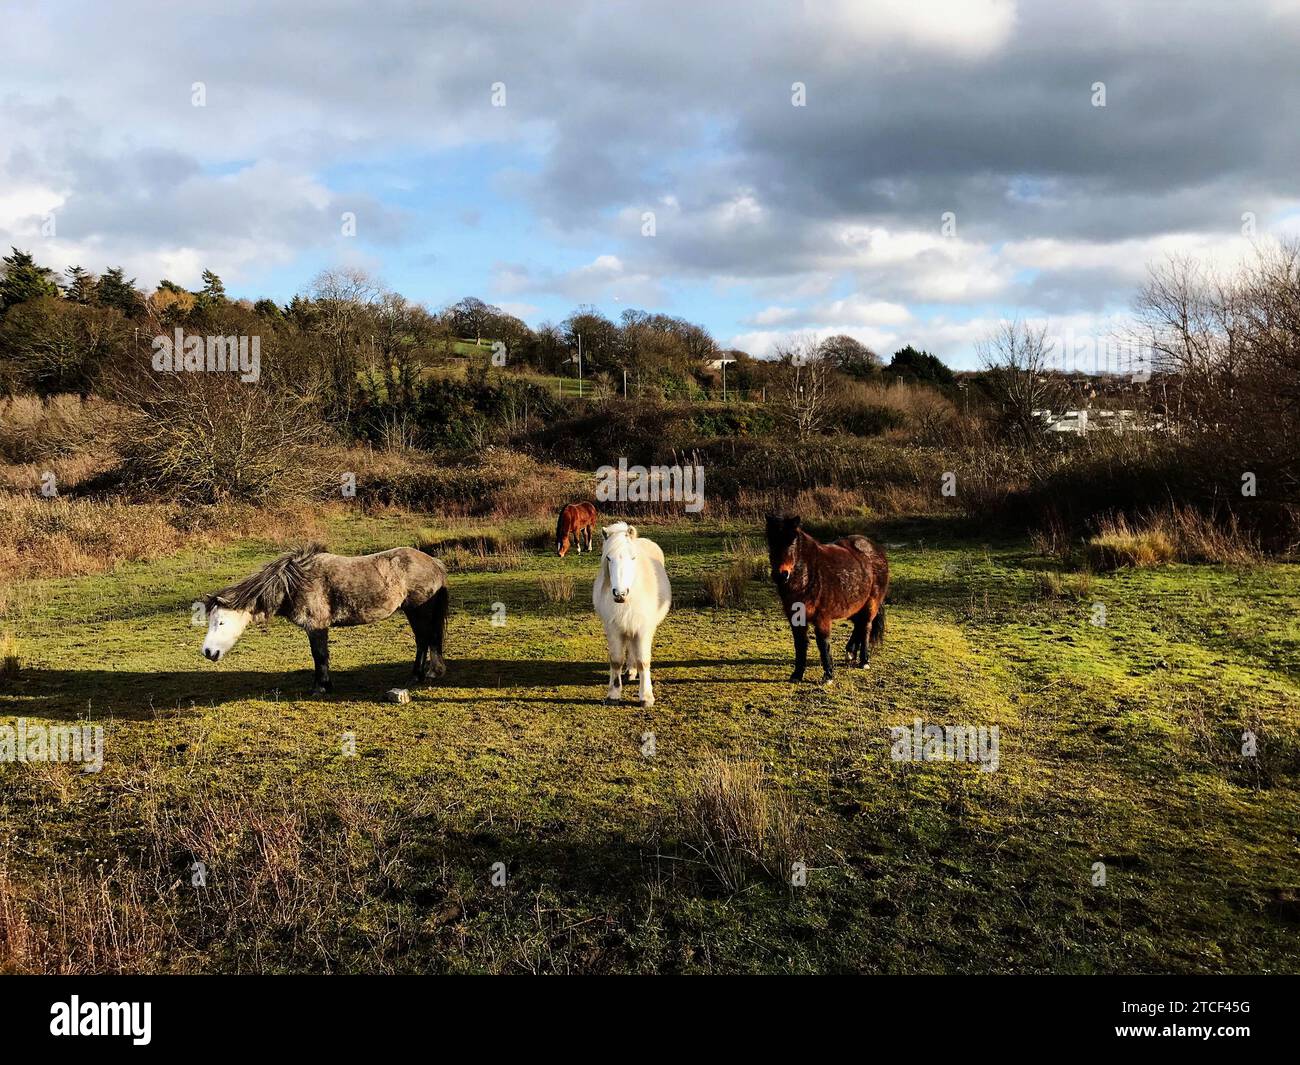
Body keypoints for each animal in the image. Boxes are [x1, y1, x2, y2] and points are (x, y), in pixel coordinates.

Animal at [200, 543, 449, 694]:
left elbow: (319, 656)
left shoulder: (316, 626)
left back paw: (417, 676)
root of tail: (434, 562)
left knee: (423, 640)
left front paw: (319, 688)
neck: (295, 583)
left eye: (220, 622)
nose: (208, 652)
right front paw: (325, 686)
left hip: (418, 611)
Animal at [593, 522, 671, 706]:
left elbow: (643, 661)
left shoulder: (643, 629)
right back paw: (629, 671)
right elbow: (616, 661)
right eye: (608, 558)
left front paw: (646, 696)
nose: (619, 594)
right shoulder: (614, 628)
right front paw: (613, 694)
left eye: (633, 558)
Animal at [765, 514, 889, 685]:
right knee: (858, 625)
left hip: (871, 603)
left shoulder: (822, 617)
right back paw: (850, 653)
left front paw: (828, 676)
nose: (780, 575)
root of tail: (875, 548)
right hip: (855, 605)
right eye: (771, 542)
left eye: (792, 542)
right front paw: (797, 675)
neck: (809, 575)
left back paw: (864, 661)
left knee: (866, 627)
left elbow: (823, 643)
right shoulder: (796, 618)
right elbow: (800, 644)